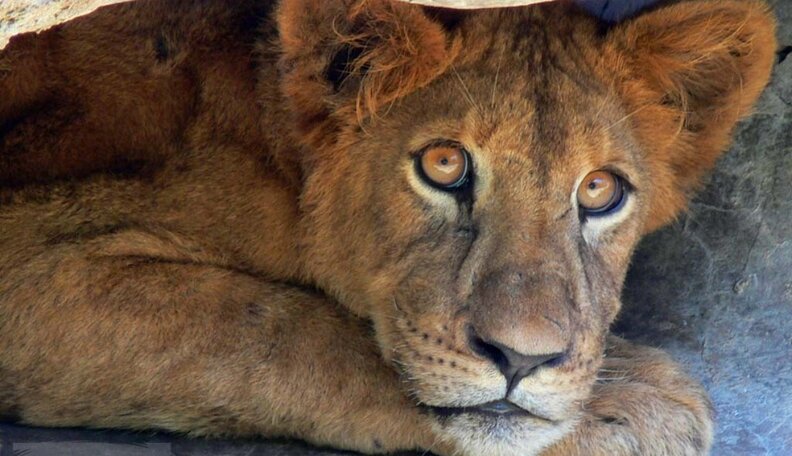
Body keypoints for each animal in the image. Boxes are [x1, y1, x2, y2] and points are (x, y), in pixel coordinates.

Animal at [0, 0, 777, 454]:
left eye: (599, 189)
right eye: (443, 164)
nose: (521, 359)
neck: (275, 158)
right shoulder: (28, 255)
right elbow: (266, 326)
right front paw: (631, 401)